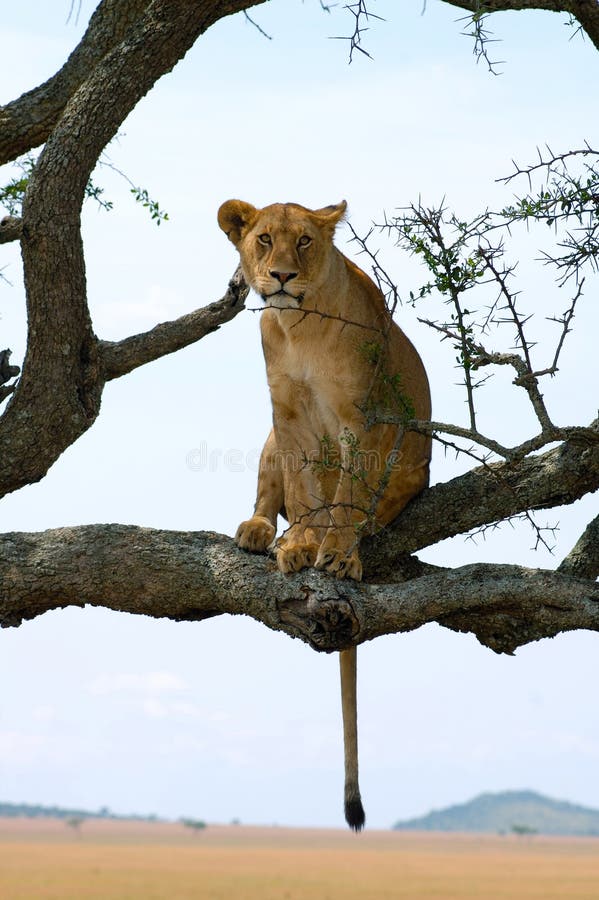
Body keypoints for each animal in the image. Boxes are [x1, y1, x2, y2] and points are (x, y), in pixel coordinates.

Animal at [218, 198, 431, 830]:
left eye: (306, 242)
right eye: (265, 239)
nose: (282, 276)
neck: (299, 327)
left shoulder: (363, 417)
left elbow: (346, 496)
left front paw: (333, 554)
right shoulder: (286, 413)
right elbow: (305, 489)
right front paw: (297, 547)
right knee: (273, 498)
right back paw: (260, 531)